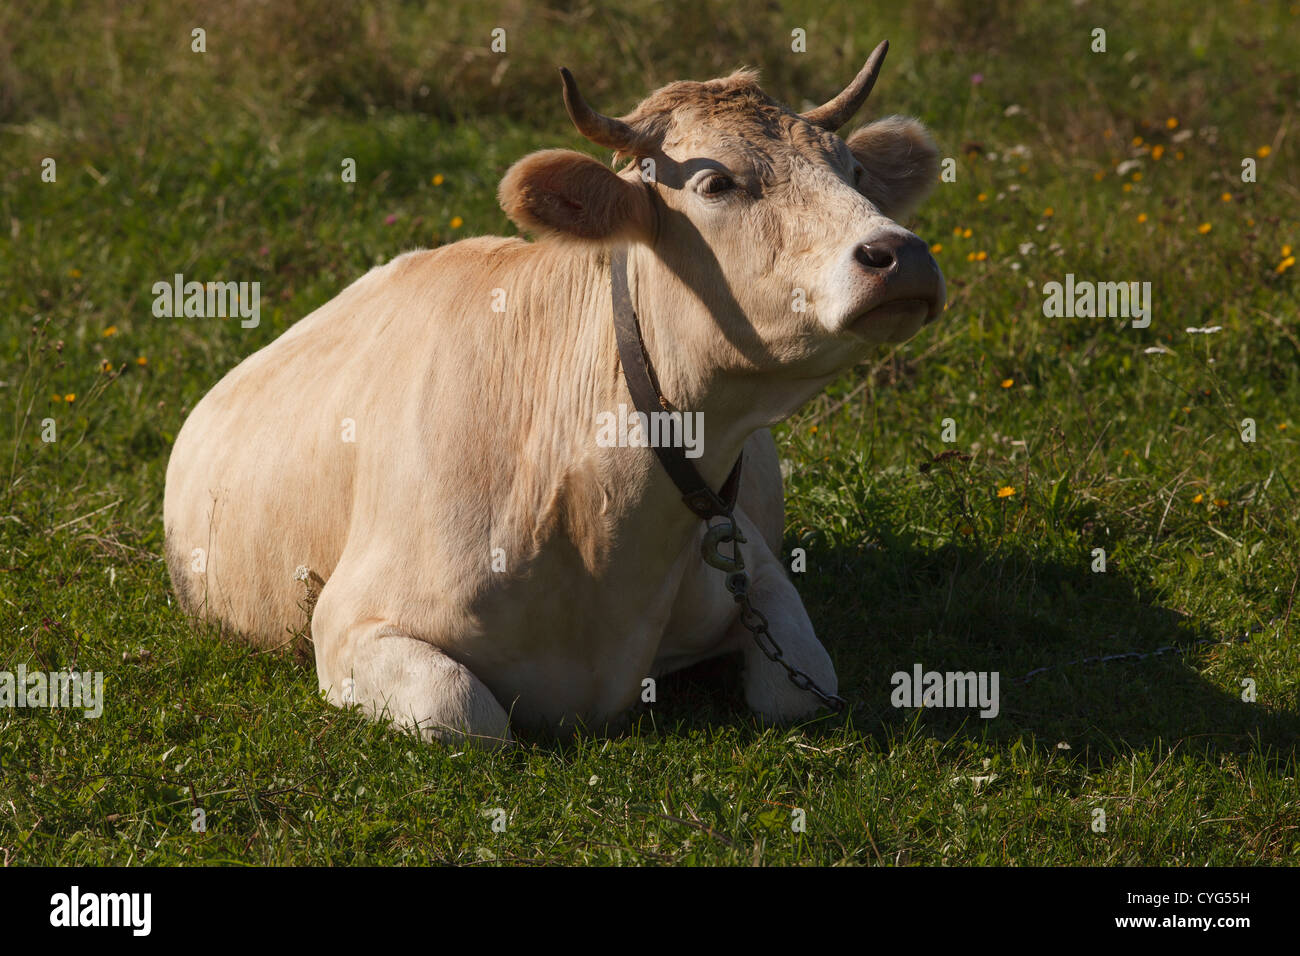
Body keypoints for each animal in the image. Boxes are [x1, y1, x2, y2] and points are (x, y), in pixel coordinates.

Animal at [163, 41, 945, 747]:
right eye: (717, 183)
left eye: (852, 170)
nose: (901, 253)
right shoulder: (351, 623)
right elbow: (466, 715)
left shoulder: (756, 573)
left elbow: (800, 685)